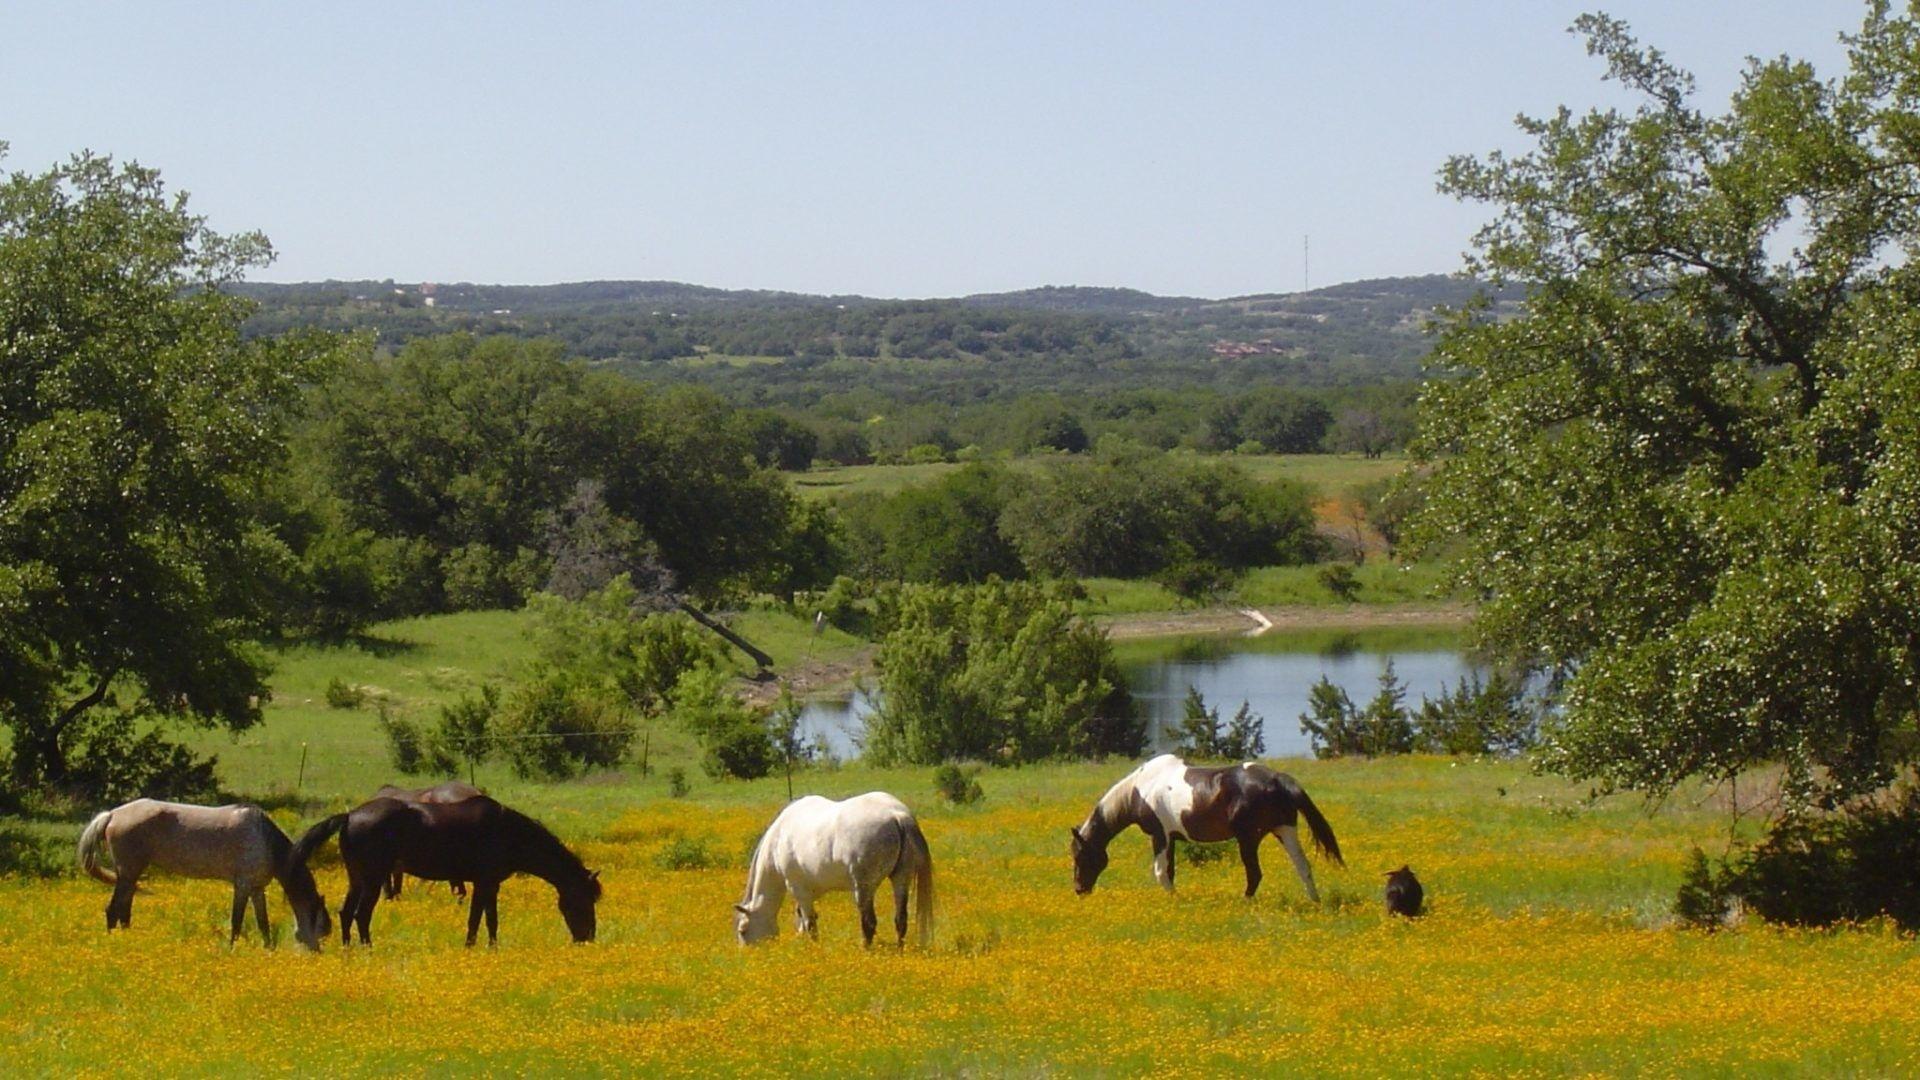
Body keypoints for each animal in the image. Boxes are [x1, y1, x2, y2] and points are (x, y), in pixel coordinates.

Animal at [76, 799, 332, 950]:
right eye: (320, 929)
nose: (316, 954)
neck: (264, 839)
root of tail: (112, 815)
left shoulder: (257, 888)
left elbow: (263, 923)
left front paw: (268, 949)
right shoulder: (242, 885)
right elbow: (237, 921)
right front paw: (231, 949)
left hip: (131, 875)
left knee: (124, 911)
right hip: (128, 873)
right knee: (113, 911)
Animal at [292, 794, 600, 947]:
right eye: (583, 901)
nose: (587, 938)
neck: (508, 831)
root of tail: (350, 815)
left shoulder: (491, 884)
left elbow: (490, 919)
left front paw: (492, 947)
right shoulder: (484, 882)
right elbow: (477, 919)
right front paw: (471, 947)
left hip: (357, 879)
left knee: (346, 914)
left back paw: (348, 950)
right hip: (373, 879)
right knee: (361, 915)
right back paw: (367, 949)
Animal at [735, 792, 934, 948]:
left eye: (743, 930)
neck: (778, 838)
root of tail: (898, 815)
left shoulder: (798, 889)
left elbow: (810, 923)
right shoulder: (810, 891)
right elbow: (803, 918)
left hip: (864, 888)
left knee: (869, 923)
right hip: (901, 879)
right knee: (900, 920)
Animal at [1069, 754, 1343, 900]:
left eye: (1080, 855)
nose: (1079, 889)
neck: (1140, 789)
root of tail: (1277, 779)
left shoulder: (1160, 836)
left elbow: (1161, 872)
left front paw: (1174, 899)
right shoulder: (1172, 839)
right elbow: (1169, 871)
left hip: (1248, 839)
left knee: (1255, 874)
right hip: (1285, 830)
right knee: (1303, 867)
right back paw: (1315, 902)